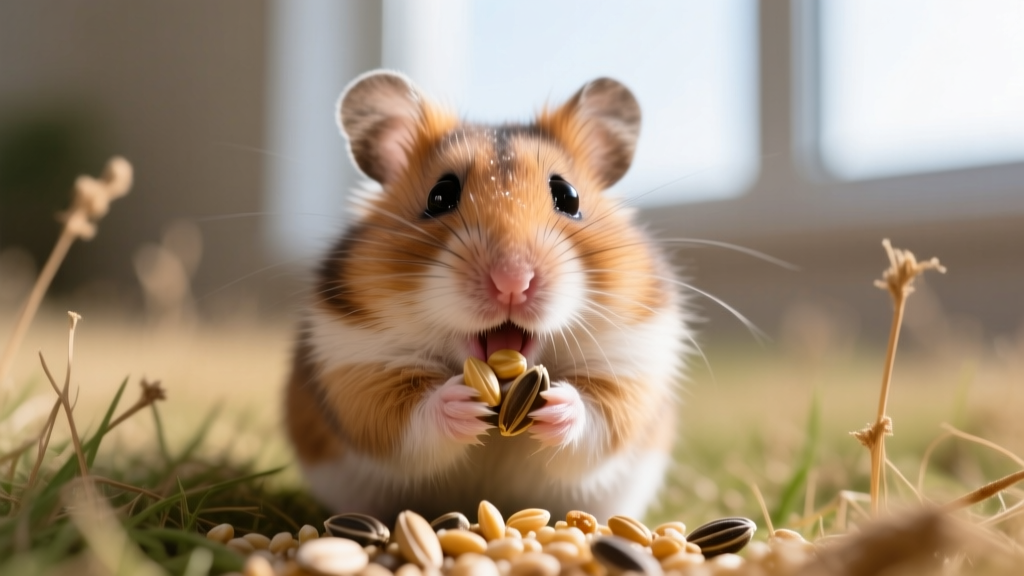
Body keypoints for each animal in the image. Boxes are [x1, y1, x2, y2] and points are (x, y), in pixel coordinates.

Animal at [285, 70, 691, 523]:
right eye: (439, 196)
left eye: (568, 196)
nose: (512, 281)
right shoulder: (357, 364)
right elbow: (403, 422)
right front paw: (464, 401)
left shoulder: (631, 363)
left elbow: (600, 420)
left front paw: (554, 402)